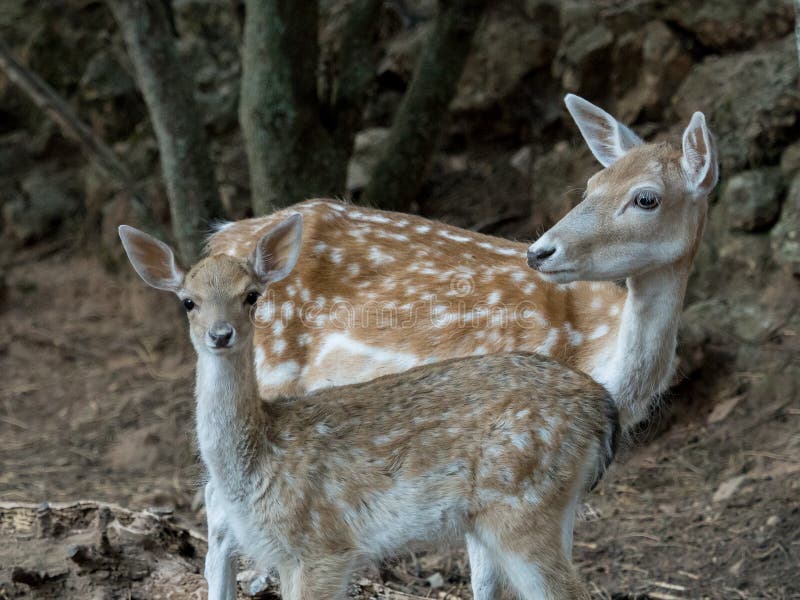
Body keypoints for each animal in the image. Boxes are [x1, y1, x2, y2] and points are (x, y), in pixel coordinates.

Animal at [119, 217, 619, 600]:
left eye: (251, 295)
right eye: (189, 301)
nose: (220, 334)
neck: (259, 458)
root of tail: (600, 407)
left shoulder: (322, 547)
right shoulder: (290, 556)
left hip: (521, 504)